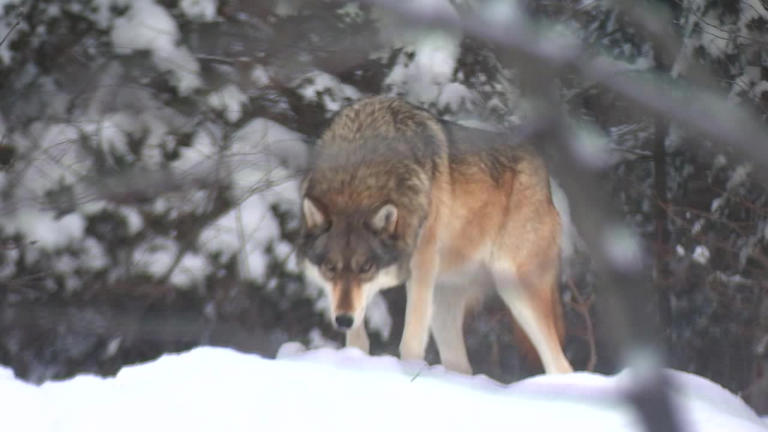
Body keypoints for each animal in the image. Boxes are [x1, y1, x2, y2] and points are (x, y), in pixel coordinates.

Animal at [296, 96, 573, 374]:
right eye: (330, 268)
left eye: (366, 267)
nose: (343, 319)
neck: (359, 177)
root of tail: (546, 179)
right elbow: (357, 338)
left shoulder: (421, 267)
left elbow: (411, 340)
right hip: (445, 309)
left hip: (514, 286)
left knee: (561, 365)